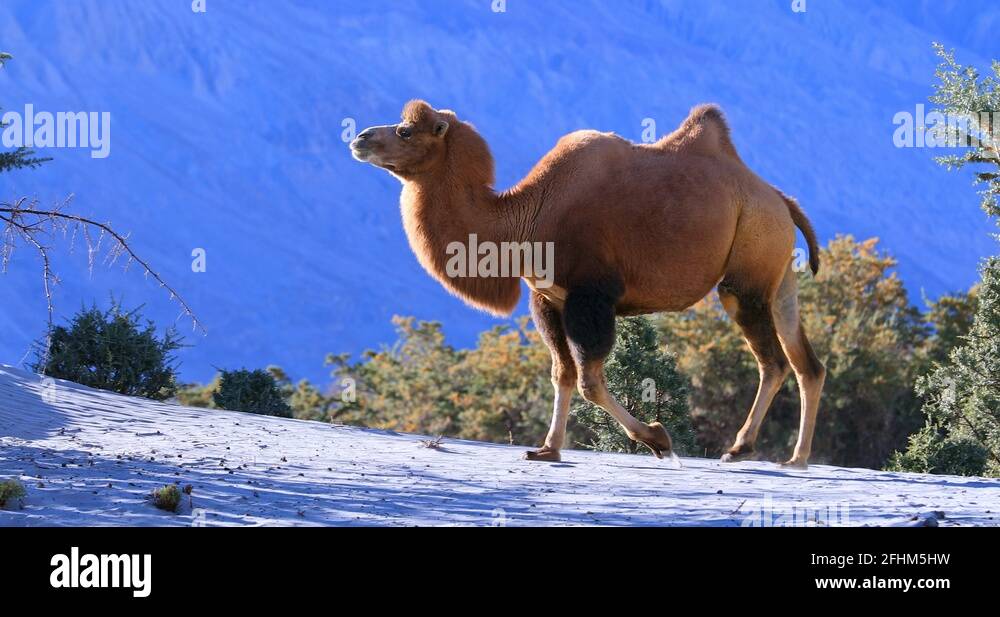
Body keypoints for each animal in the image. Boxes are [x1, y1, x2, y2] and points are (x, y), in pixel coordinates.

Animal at [351, 100, 826, 468]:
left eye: (405, 130)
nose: (359, 138)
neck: (522, 223)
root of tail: (781, 200)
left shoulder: (590, 296)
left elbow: (589, 381)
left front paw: (658, 438)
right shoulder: (547, 299)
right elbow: (561, 374)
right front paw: (547, 449)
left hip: (745, 275)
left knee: (773, 361)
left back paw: (741, 448)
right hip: (779, 277)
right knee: (807, 362)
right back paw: (796, 458)